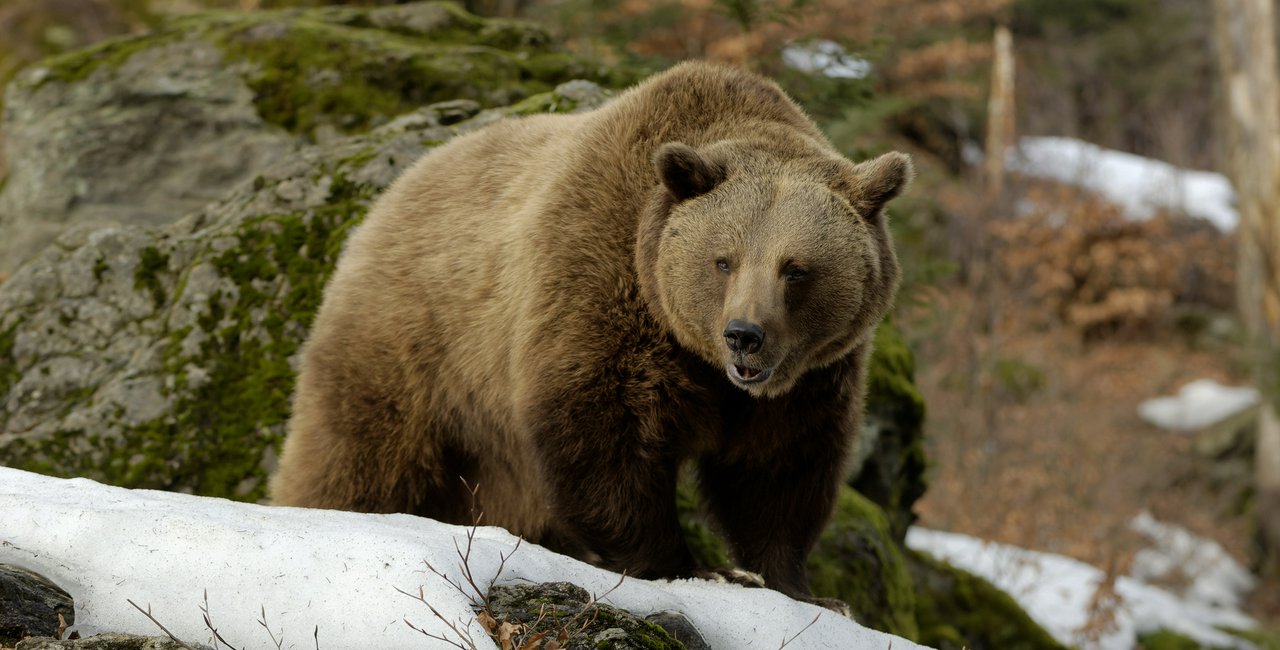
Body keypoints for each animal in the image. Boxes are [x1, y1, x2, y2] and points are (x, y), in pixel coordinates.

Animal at [269, 60, 912, 611]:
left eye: (795, 268)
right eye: (724, 260)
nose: (744, 335)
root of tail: (390, 195)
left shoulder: (811, 377)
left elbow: (781, 466)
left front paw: (801, 587)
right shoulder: (599, 287)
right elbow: (601, 428)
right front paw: (689, 565)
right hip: (412, 343)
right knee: (358, 452)